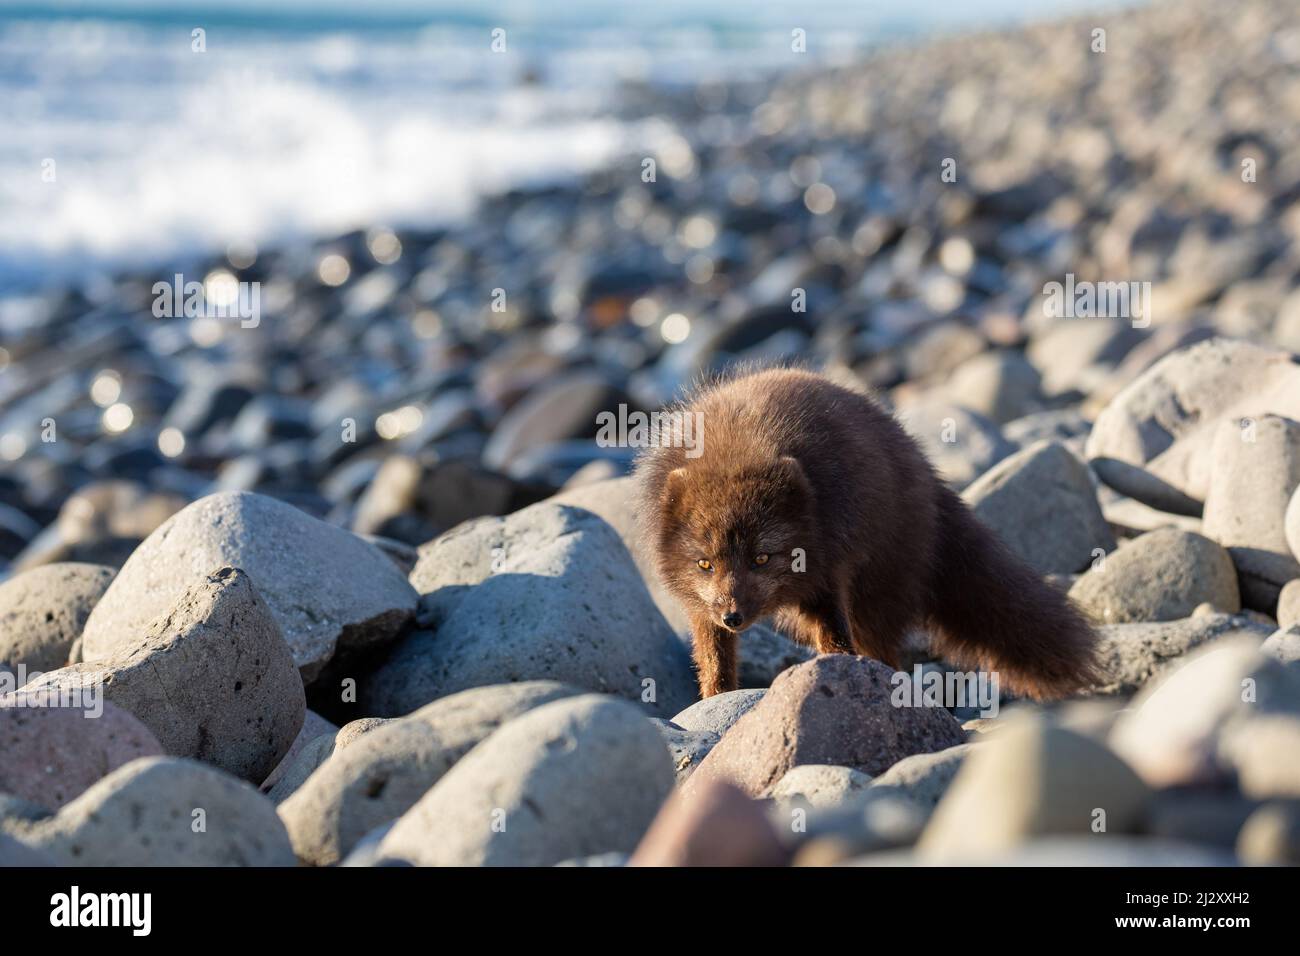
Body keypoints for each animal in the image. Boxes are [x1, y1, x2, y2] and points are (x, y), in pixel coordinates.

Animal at [635, 367, 1100, 700]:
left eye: (761, 558)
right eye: (704, 563)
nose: (733, 617)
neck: (734, 449)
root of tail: (926, 474)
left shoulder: (826, 568)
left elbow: (835, 635)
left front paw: (837, 674)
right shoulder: (701, 607)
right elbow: (712, 657)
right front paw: (714, 700)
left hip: (882, 583)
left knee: (883, 644)